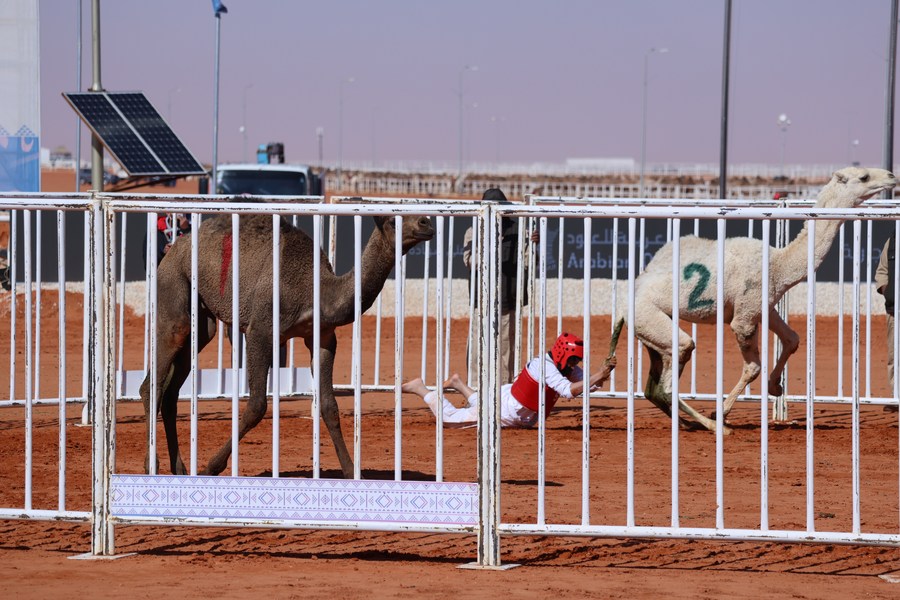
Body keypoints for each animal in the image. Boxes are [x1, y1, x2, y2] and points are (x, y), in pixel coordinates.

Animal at [139, 212, 435, 477]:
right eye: (393, 221)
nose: (427, 223)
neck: (316, 291)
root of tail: (172, 250)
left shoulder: (322, 338)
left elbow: (329, 406)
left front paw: (351, 472)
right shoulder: (260, 330)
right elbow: (257, 406)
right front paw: (212, 466)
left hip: (202, 324)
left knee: (171, 392)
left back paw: (178, 468)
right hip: (174, 293)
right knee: (153, 383)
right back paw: (151, 465)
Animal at [624, 166, 897, 433]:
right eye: (864, 176)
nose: (892, 176)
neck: (778, 264)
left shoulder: (765, 307)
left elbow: (792, 339)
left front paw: (775, 387)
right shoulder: (744, 316)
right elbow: (753, 367)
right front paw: (720, 412)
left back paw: (685, 421)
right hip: (648, 316)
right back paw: (704, 423)